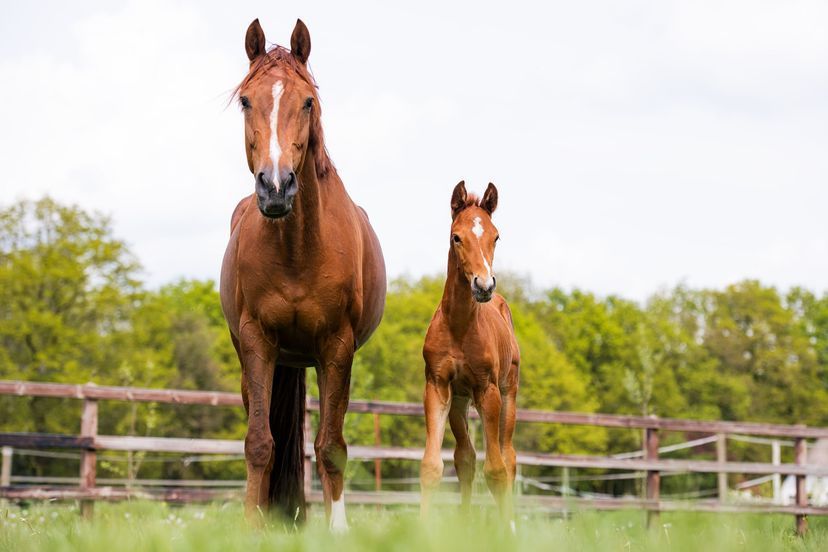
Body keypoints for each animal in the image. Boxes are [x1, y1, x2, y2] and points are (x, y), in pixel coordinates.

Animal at [219, 19, 386, 530]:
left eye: (308, 101)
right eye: (246, 100)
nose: (276, 187)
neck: (297, 249)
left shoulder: (337, 347)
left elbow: (331, 447)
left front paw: (339, 530)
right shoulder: (257, 342)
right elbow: (259, 443)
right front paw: (252, 527)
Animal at [419, 181, 520, 527]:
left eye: (496, 236)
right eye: (456, 237)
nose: (484, 285)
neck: (460, 326)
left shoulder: (487, 390)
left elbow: (497, 470)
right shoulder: (438, 386)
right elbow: (432, 466)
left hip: (508, 392)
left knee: (508, 457)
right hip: (460, 401)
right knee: (466, 458)